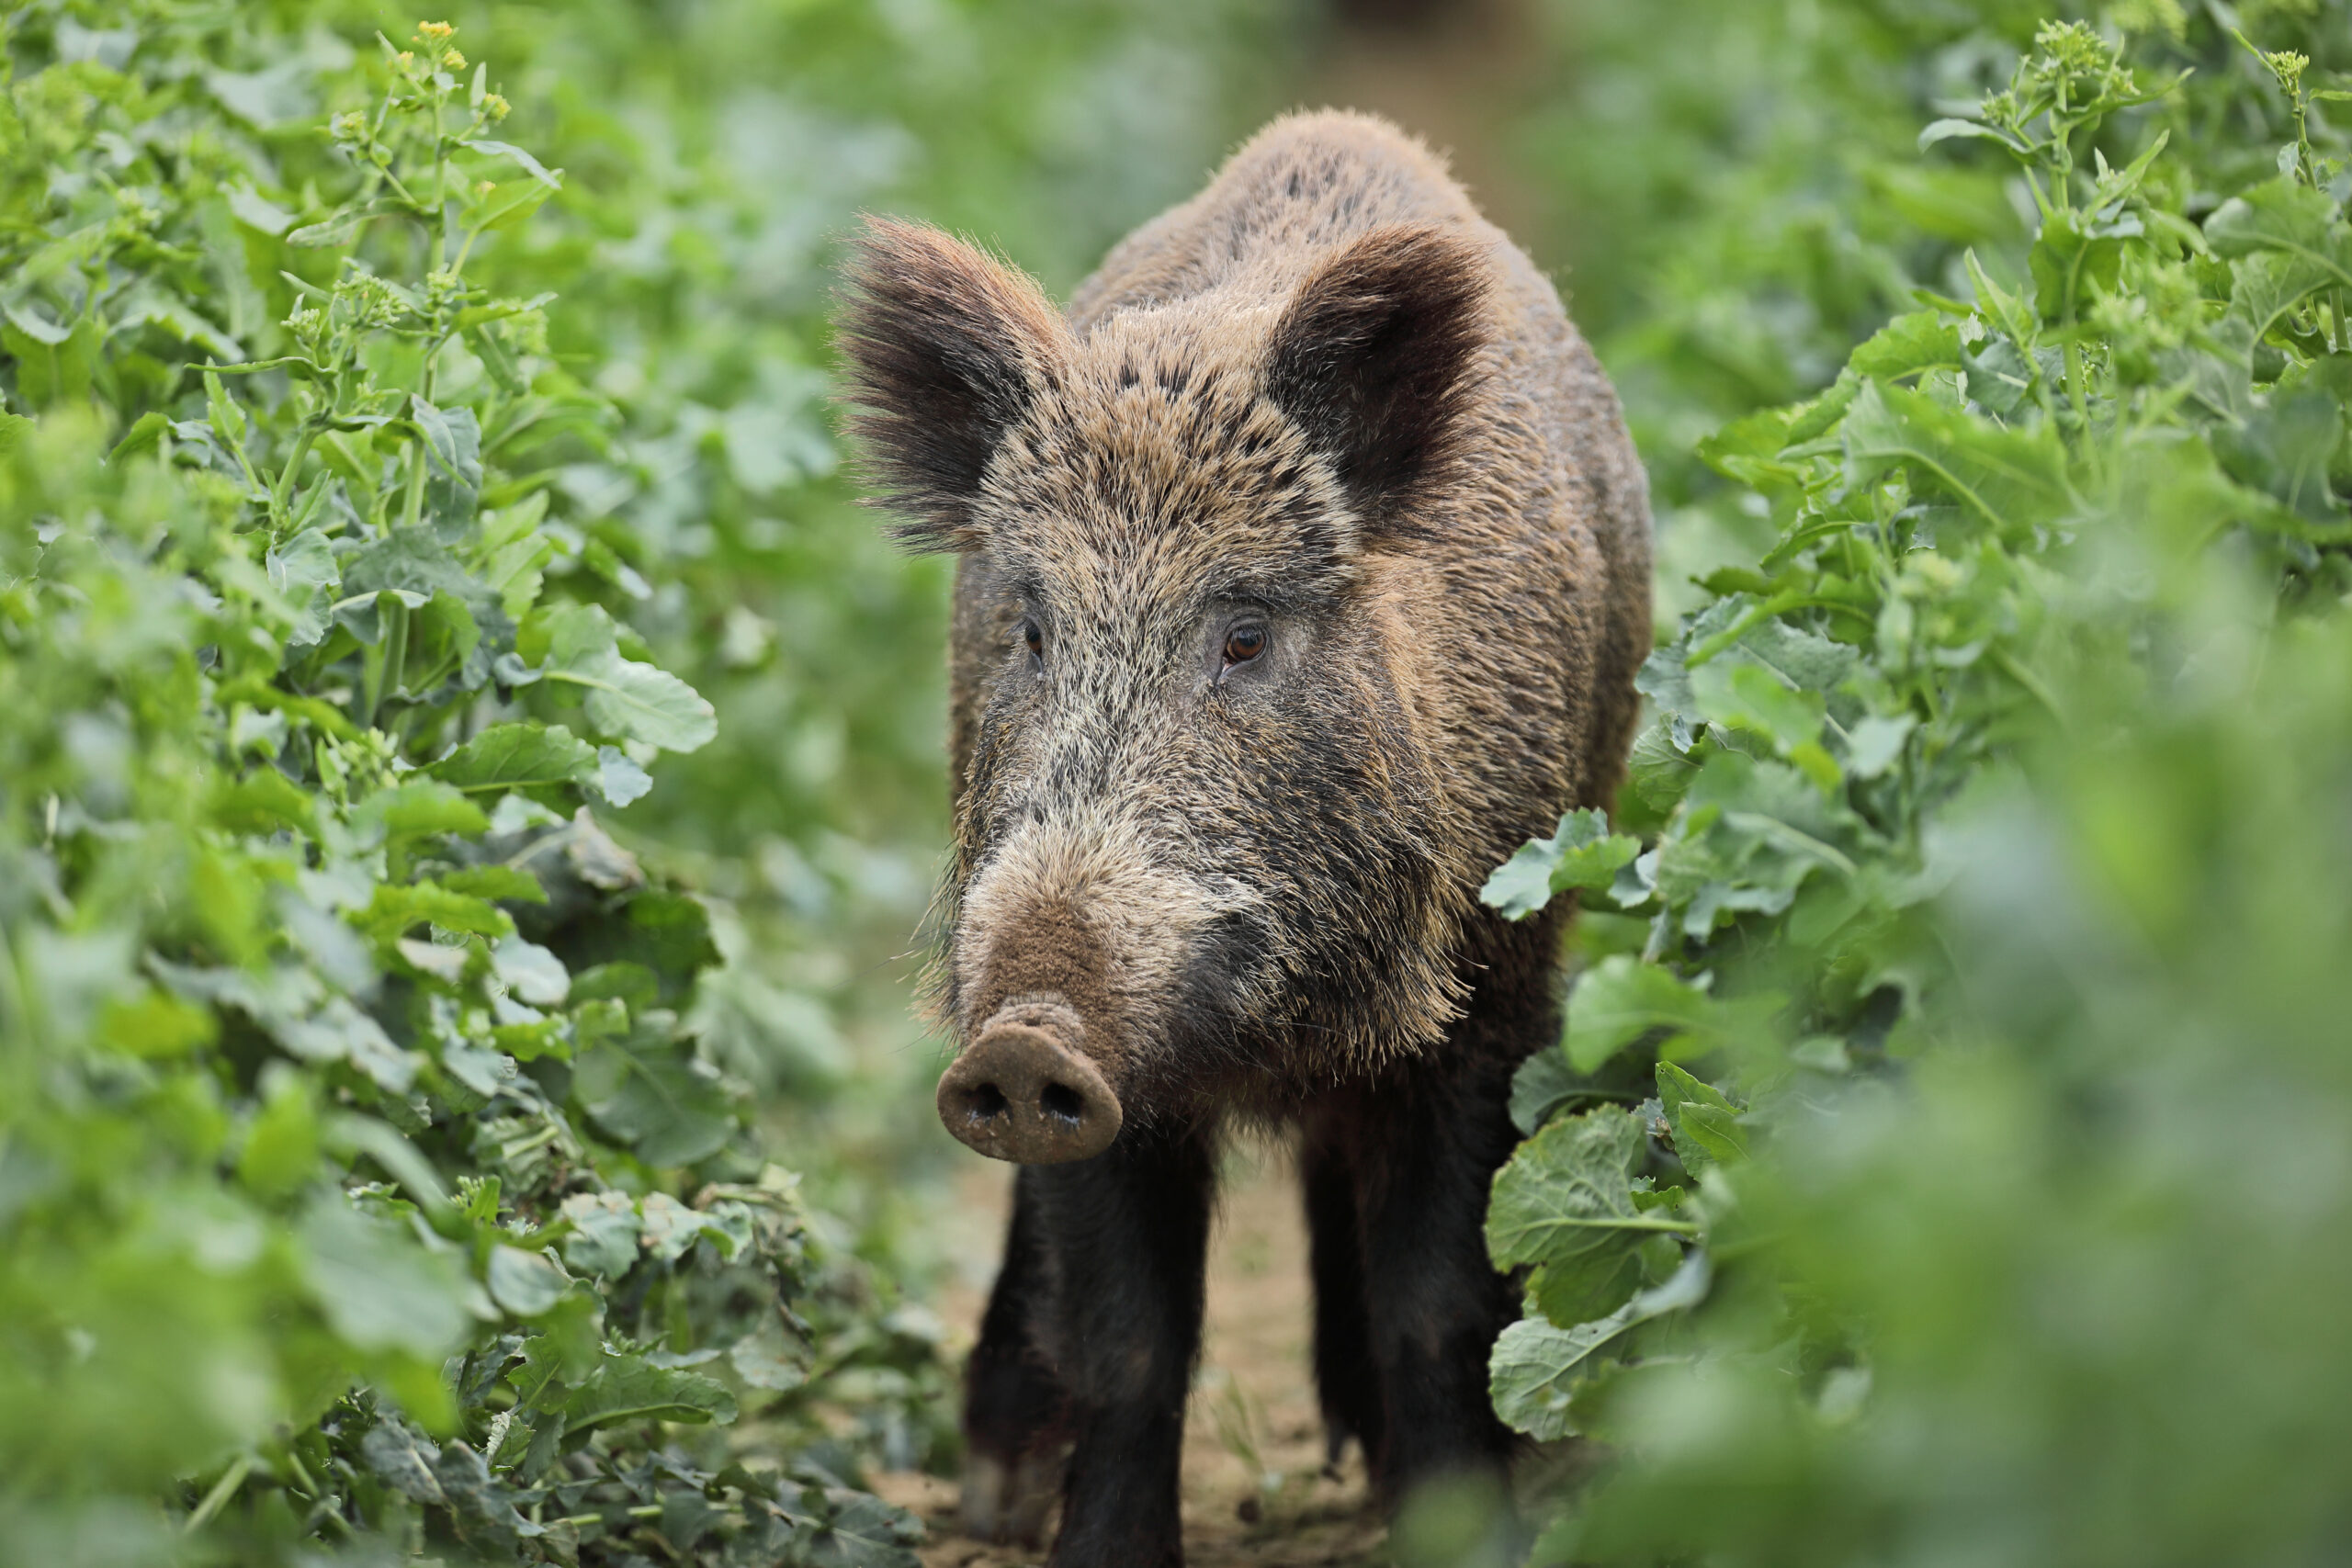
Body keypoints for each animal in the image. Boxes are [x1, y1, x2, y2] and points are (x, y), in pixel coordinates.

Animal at [835, 110, 1650, 1566]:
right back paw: (995, 1493)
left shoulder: (1490, 990)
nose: (1028, 1036)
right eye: (1031, 629)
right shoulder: (1102, 1089)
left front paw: (1459, 1526)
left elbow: (1436, 1298)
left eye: (1247, 635)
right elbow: (1128, 1332)